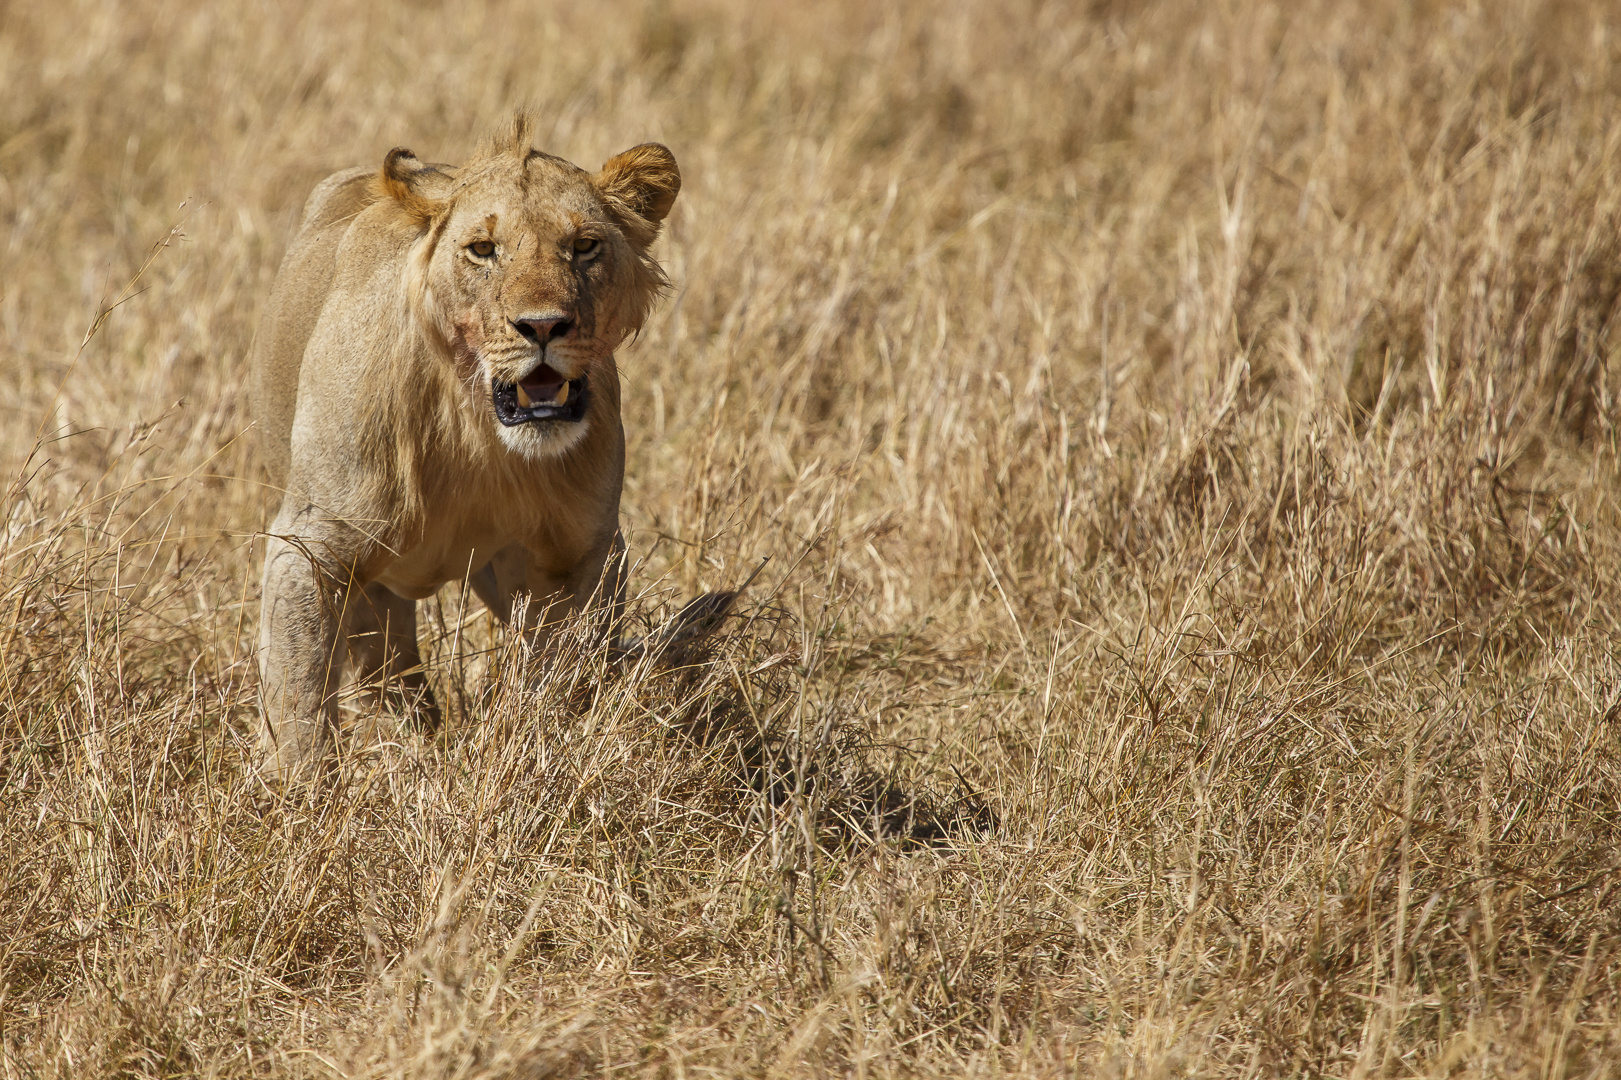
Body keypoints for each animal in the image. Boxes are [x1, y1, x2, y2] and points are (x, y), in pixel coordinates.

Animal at [249, 115, 680, 781]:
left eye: (584, 246)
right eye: (482, 249)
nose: (543, 326)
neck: (476, 428)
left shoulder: (583, 553)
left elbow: (563, 682)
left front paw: (545, 755)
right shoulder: (311, 547)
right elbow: (299, 705)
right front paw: (305, 797)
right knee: (384, 663)